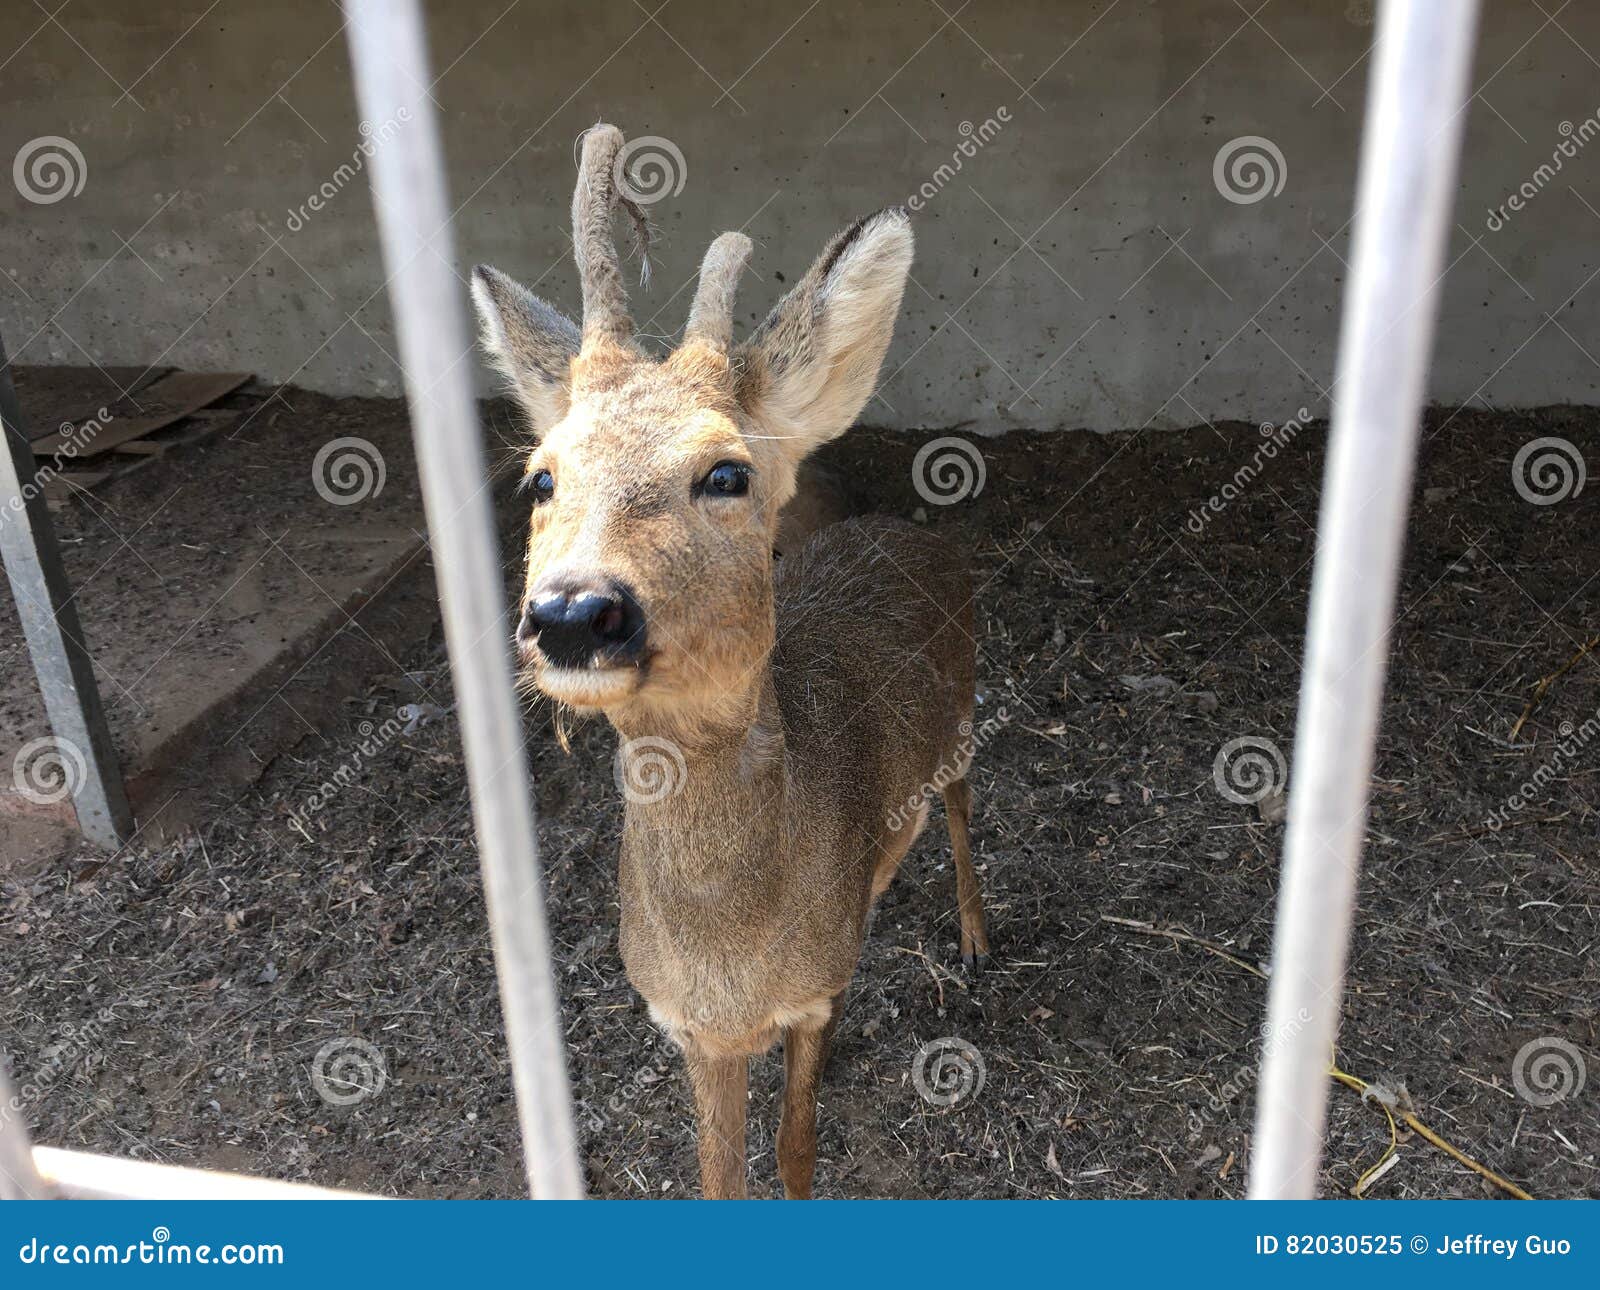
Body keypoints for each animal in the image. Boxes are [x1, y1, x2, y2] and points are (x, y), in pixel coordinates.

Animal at [470, 124, 989, 1199]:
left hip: (964, 706)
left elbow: (795, 1150)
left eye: (726, 474)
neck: (729, 960)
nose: (575, 611)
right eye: (540, 477)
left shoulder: (806, 999)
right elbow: (719, 1174)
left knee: (963, 808)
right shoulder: (688, 1026)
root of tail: (904, 530)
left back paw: (973, 939)